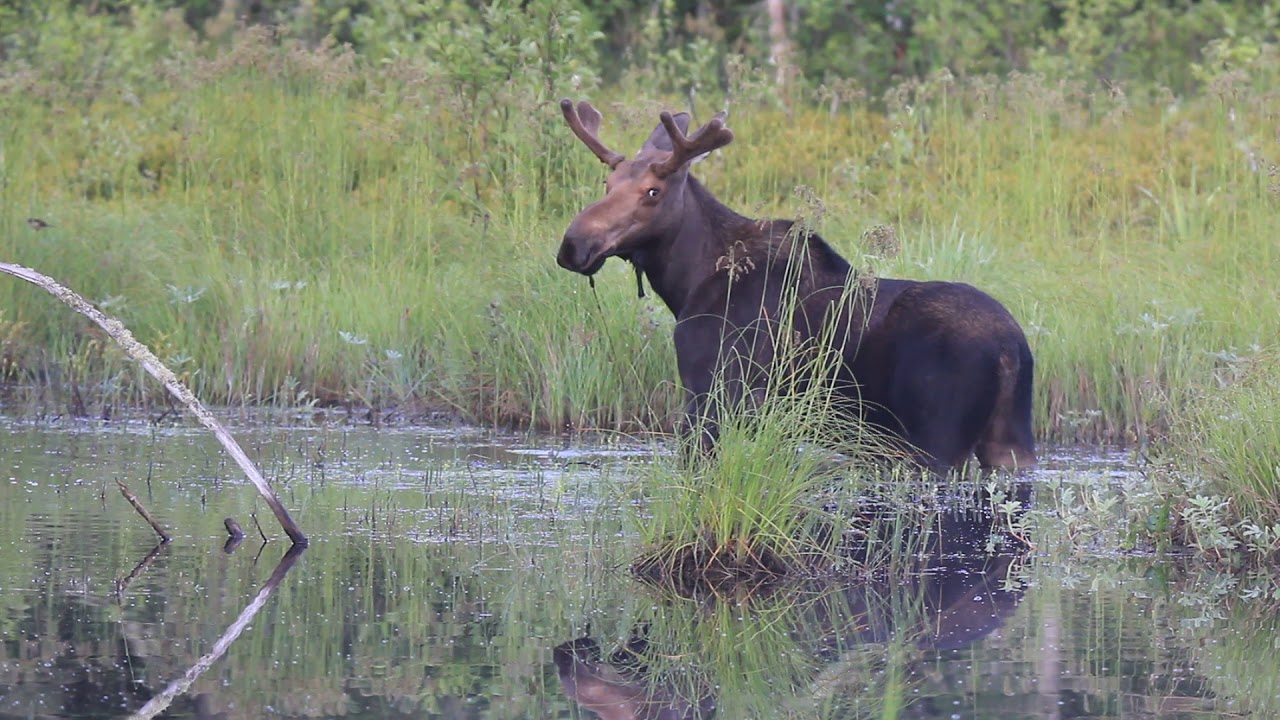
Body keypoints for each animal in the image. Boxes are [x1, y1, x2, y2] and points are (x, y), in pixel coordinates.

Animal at [556, 99, 1036, 472]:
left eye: (653, 192)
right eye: (607, 183)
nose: (573, 244)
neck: (685, 282)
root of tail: (1010, 349)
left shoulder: (711, 395)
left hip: (936, 440)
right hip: (1011, 442)